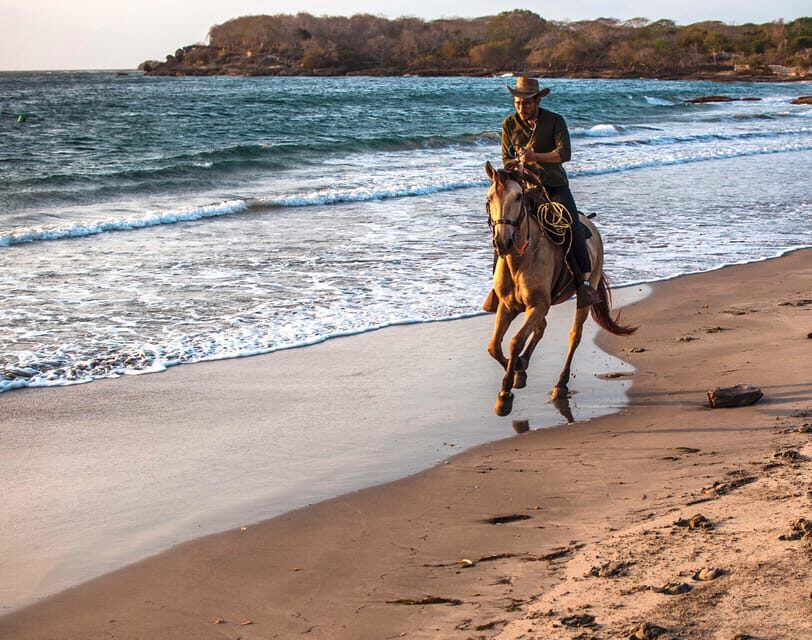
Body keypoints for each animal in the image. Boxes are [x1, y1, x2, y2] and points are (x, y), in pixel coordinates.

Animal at [484, 160, 636, 416]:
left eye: (518, 197)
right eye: (489, 198)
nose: (503, 241)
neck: (520, 258)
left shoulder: (537, 305)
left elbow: (515, 341)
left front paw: (505, 395)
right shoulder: (507, 306)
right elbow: (494, 346)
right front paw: (517, 373)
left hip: (585, 292)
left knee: (574, 336)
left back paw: (560, 386)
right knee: (540, 328)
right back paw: (523, 367)